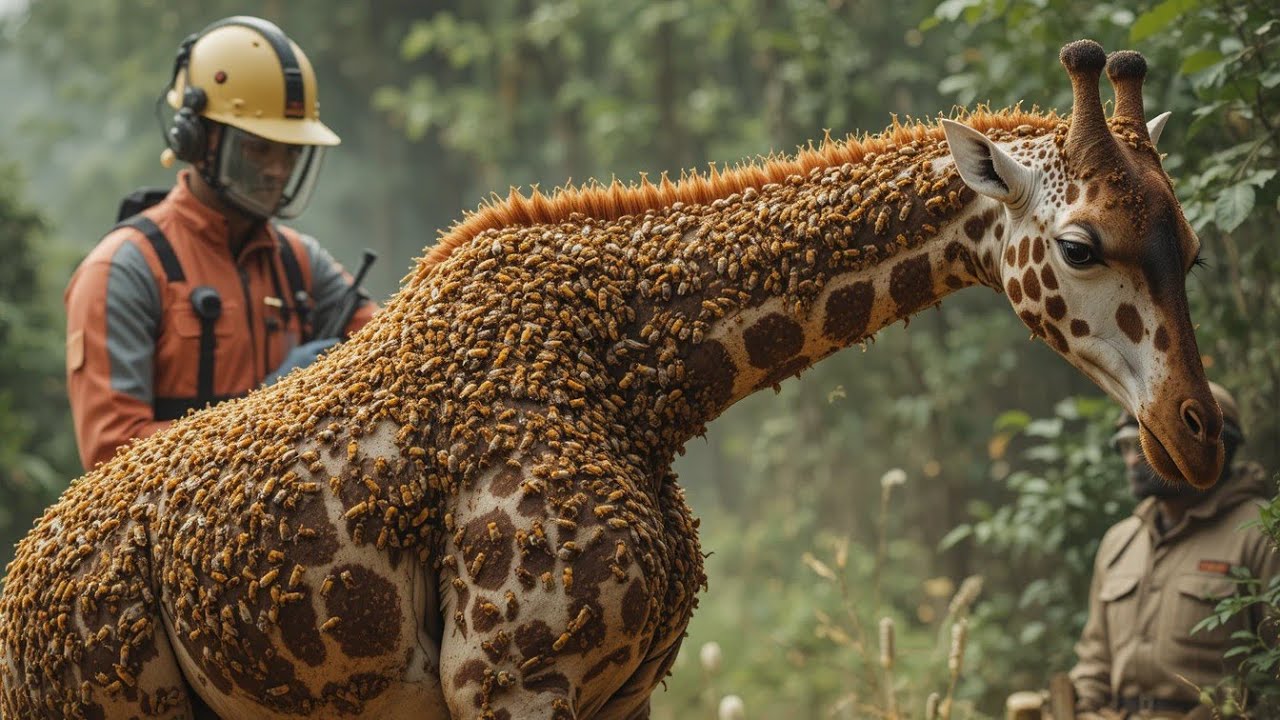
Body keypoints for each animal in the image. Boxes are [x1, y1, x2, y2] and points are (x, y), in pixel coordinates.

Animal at [0, 39, 1222, 719]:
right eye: (1078, 246)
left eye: (1193, 245)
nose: (1199, 434)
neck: (640, 385)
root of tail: (20, 585)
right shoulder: (504, 681)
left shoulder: (620, 690)